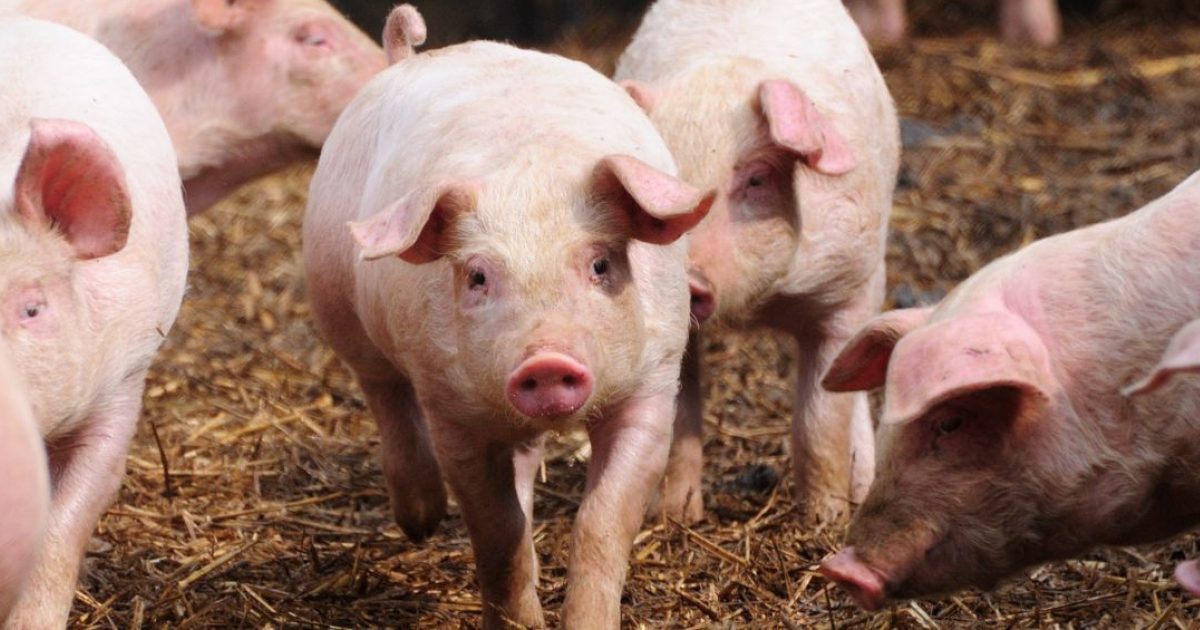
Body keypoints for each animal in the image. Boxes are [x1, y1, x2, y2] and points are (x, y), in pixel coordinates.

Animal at [303, 8, 712, 628]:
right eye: (477, 276)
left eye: (600, 263)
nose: (545, 361)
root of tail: (406, 55)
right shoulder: (451, 410)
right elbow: (497, 534)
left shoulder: (652, 387)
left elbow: (602, 522)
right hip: (336, 298)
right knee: (383, 391)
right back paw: (420, 521)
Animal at [614, 0, 900, 525]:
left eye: (756, 179)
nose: (689, 280)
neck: (759, 304)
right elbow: (681, 419)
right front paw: (679, 517)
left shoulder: (847, 288)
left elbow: (820, 420)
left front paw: (824, 519)